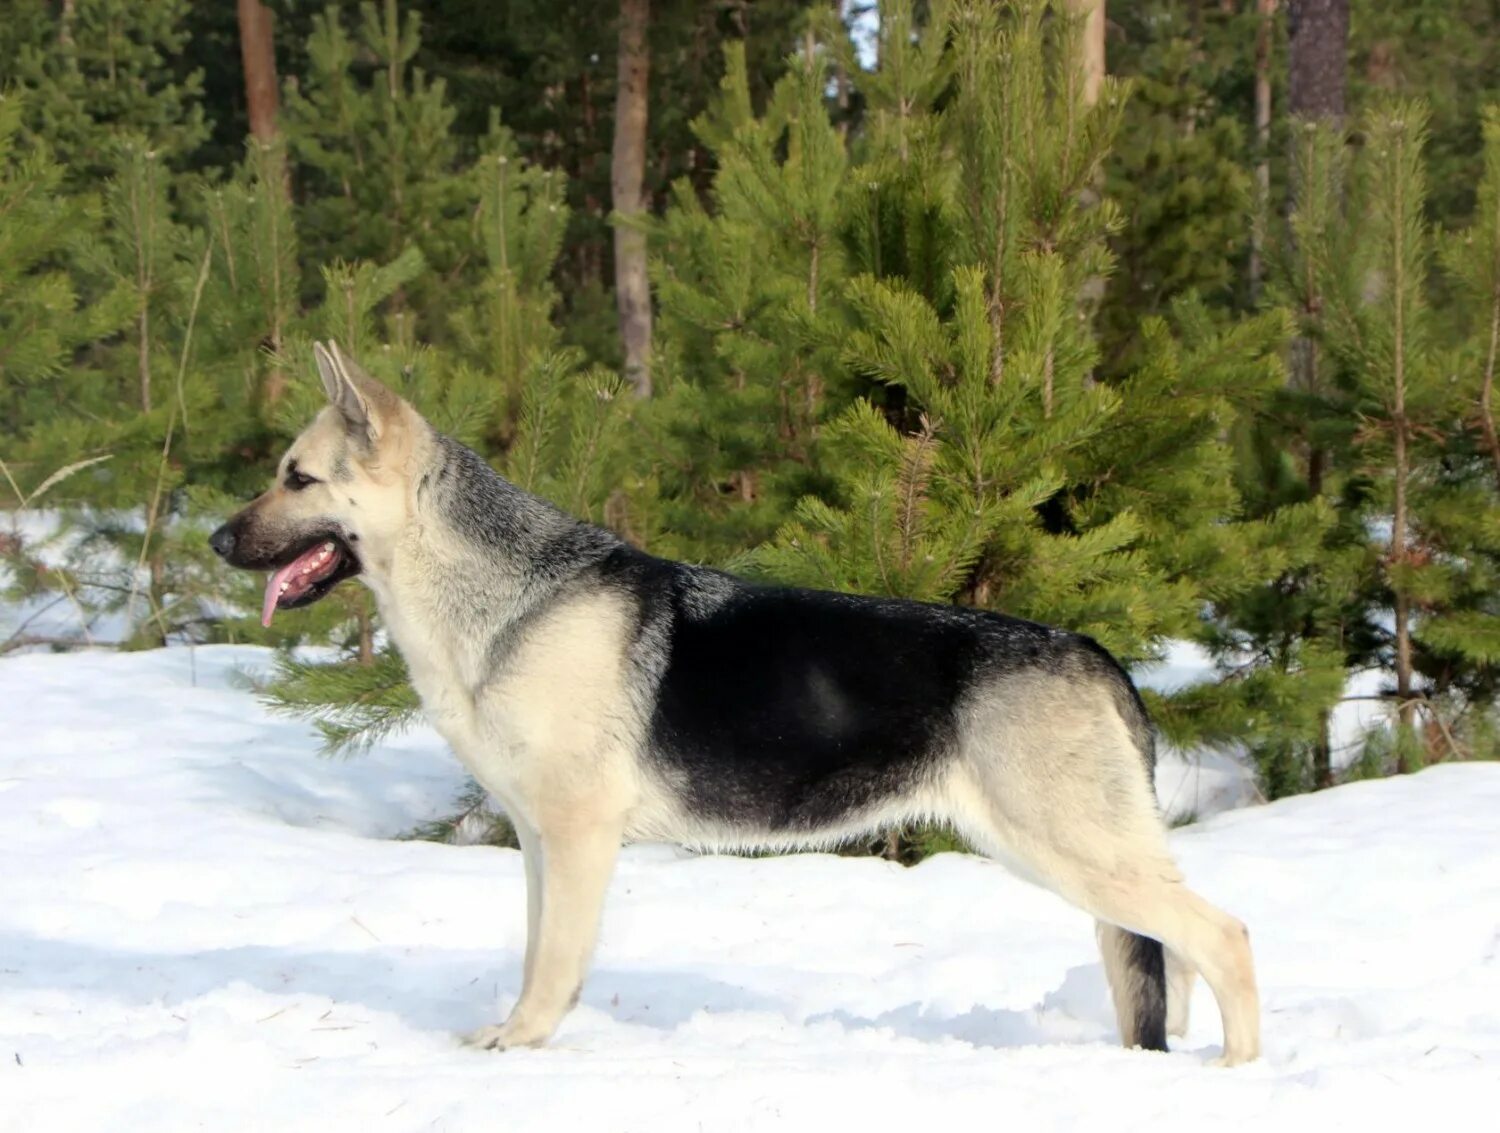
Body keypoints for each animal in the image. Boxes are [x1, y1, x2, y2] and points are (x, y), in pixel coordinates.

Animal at [211, 340, 1260, 1068]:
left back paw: (1238, 1073)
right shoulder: (541, 843)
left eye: (297, 479)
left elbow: (553, 963)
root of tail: (1089, 648)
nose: (218, 541)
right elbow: (539, 955)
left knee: (1226, 934)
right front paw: (516, 1036)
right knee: (1174, 955)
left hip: (1075, 852)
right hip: (1090, 860)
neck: (503, 594)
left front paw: (521, 1045)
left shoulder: (577, 838)